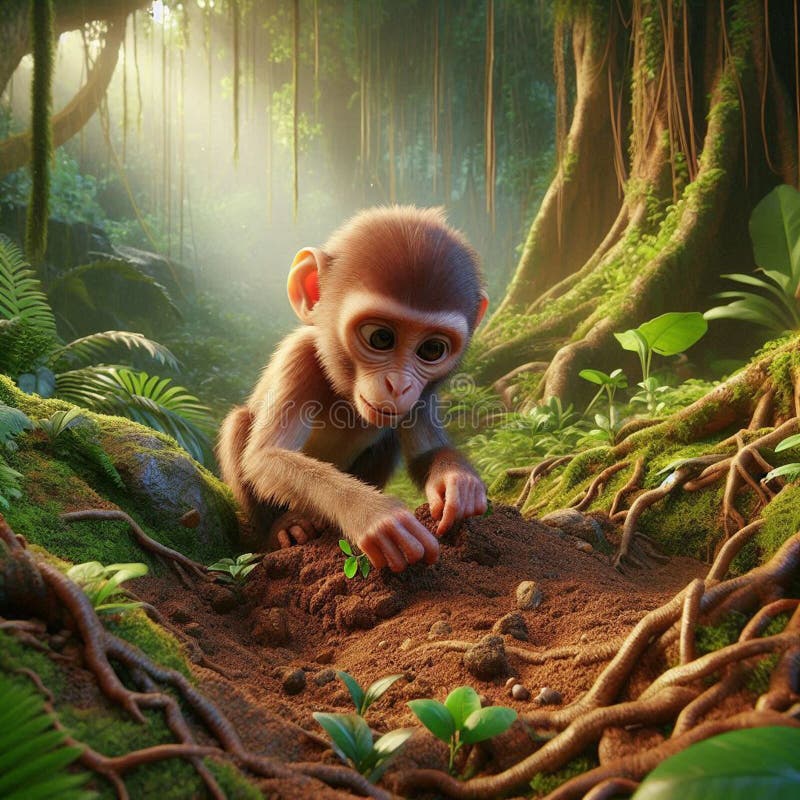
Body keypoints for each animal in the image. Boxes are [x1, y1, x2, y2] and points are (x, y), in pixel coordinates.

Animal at [216, 205, 489, 573]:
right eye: (380, 338)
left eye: (432, 349)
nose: (399, 385)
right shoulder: (300, 356)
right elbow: (265, 457)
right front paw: (374, 516)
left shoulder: (423, 393)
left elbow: (425, 455)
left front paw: (458, 482)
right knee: (239, 421)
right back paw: (285, 528)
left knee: (387, 439)